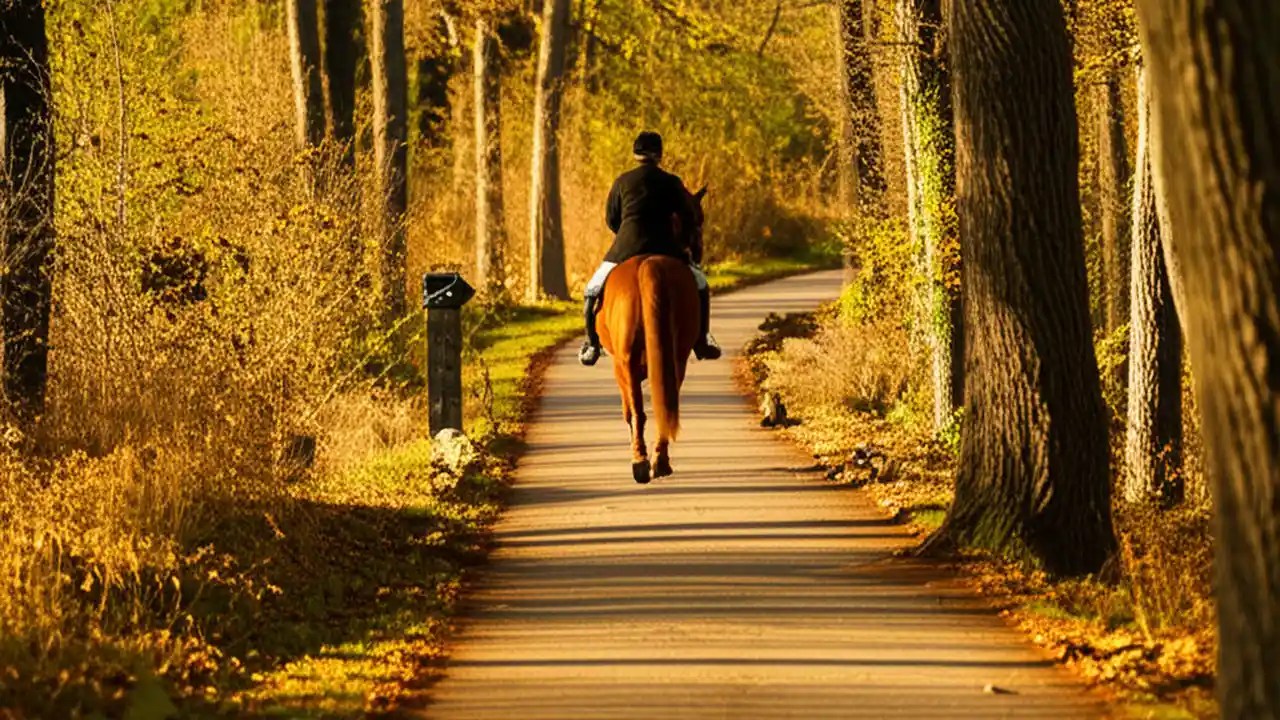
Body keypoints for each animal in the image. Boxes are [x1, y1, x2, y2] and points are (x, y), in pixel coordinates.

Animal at [595, 189, 706, 484]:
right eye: (697, 218)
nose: (699, 253)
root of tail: (648, 264)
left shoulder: (619, 367)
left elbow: (629, 413)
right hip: (676, 358)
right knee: (666, 405)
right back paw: (661, 462)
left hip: (627, 361)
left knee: (639, 413)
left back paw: (641, 463)